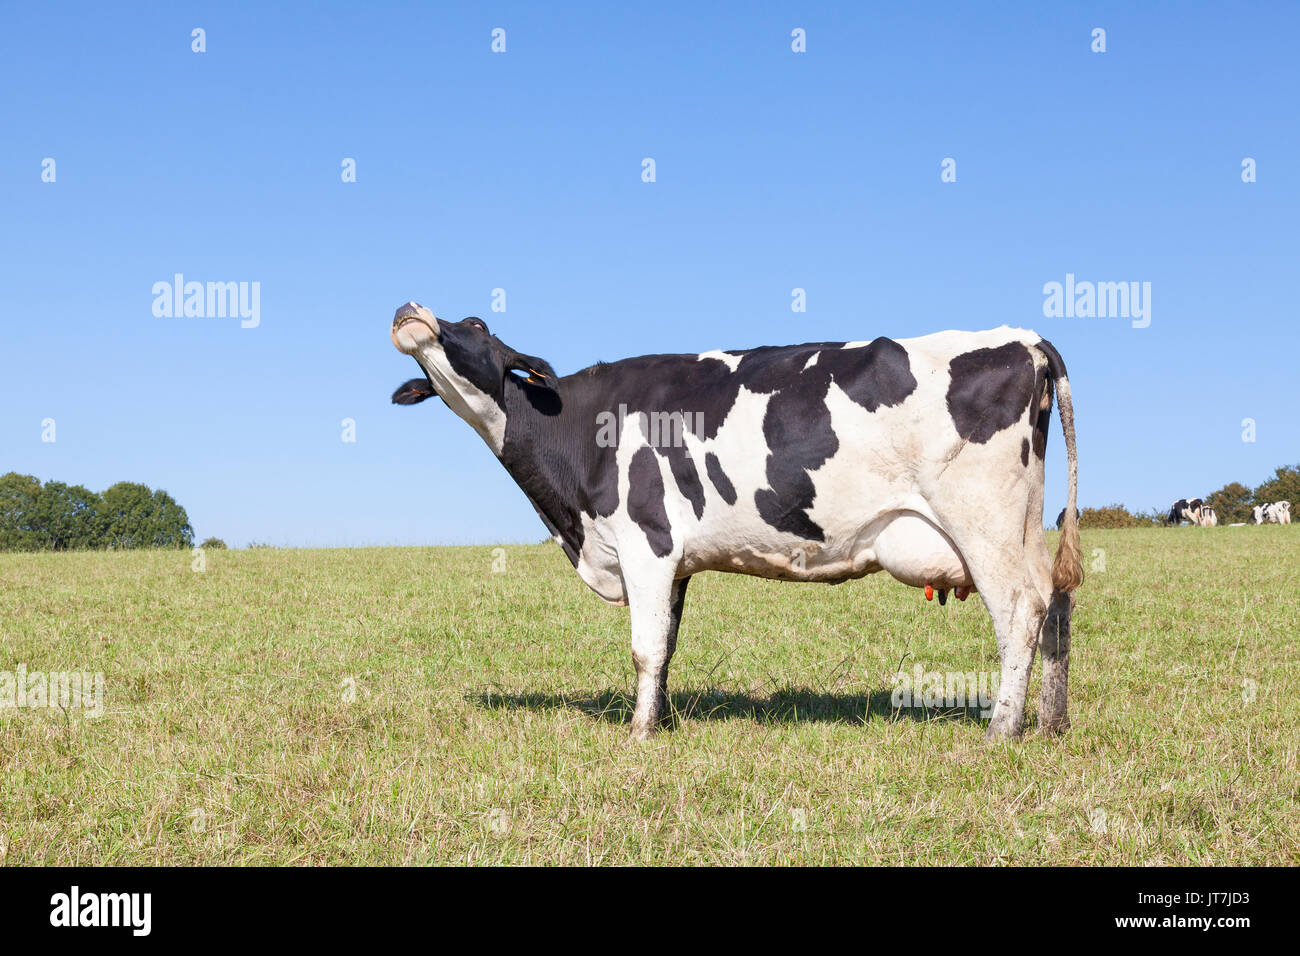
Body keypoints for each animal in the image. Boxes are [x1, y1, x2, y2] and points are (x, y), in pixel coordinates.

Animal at [390, 302, 1083, 742]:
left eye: (476, 322)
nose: (407, 307)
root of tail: (1022, 338)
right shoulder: (673, 565)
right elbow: (666, 647)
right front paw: (659, 721)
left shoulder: (646, 542)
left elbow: (644, 648)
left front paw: (637, 734)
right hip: (1025, 523)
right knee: (1056, 601)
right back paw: (1051, 722)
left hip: (984, 522)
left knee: (1019, 610)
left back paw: (1002, 729)